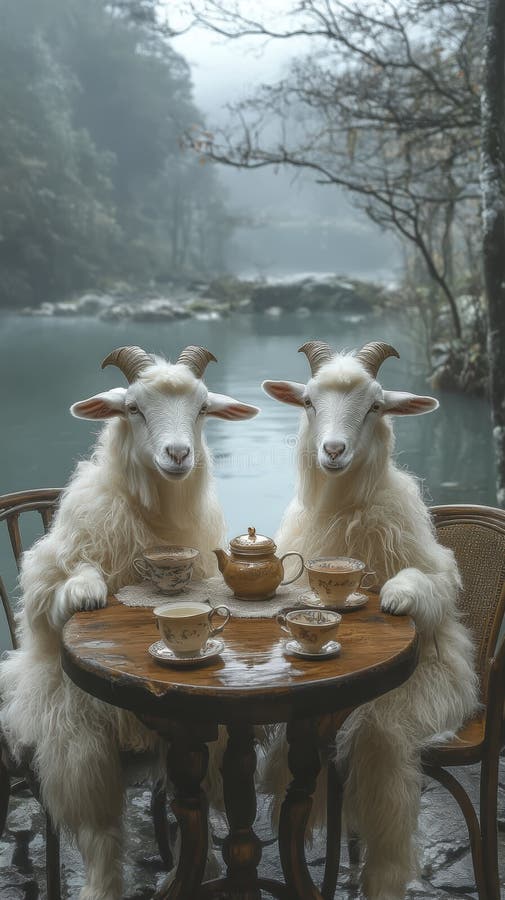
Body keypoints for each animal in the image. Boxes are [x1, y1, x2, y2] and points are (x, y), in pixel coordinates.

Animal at [0, 344, 259, 900]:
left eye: (202, 409)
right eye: (134, 408)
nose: (179, 455)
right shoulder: (53, 570)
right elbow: (49, 597)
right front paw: (86, 587)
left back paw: (199, 866)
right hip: (73, 734)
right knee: (99, 826)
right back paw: (105, 883)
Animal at [262, 340, 478, 900]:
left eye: (376, 406)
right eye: (309, 402)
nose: (334, 450)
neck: (344, 505)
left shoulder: (427, 562)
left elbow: (435, 584)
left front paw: (400, 597)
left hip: (420, 709)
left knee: (383, 763)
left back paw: (379, 874)